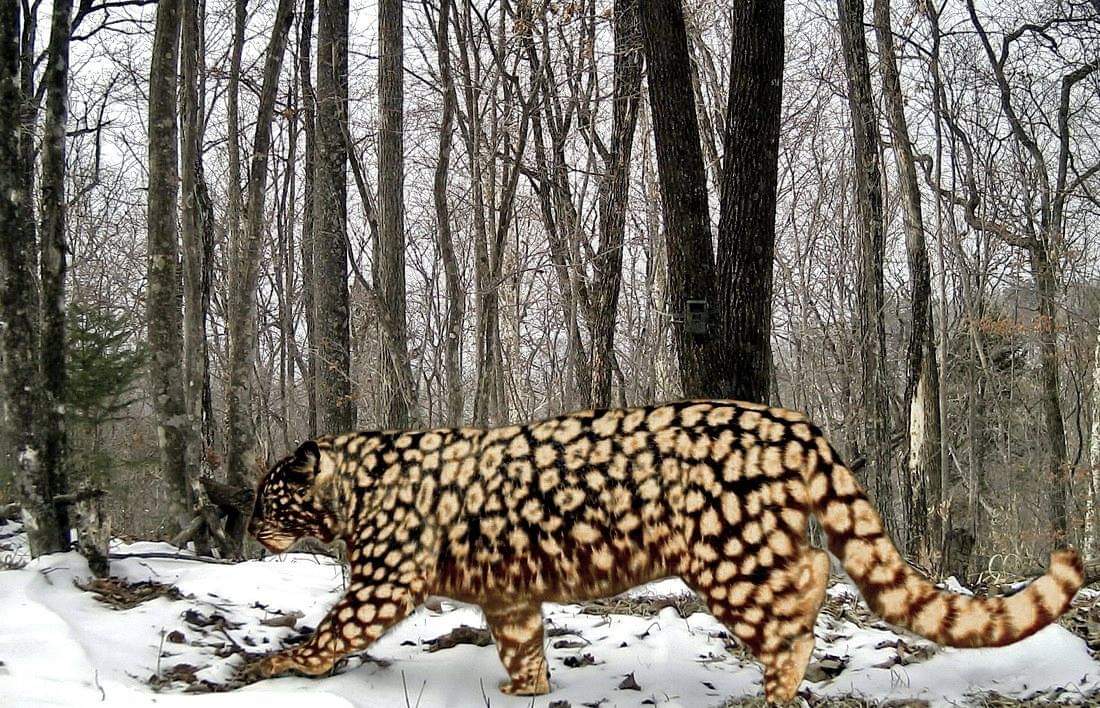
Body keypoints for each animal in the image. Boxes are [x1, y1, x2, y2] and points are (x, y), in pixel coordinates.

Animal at [245, 400, 1084, 704]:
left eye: (266, 494)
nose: (250, 528)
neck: (354, 486)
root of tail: (795, 422)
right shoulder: (510, 594)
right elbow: (521, 643)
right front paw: (525, 690)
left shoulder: (383, 581)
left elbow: (331, 629)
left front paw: (275, 665)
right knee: (811, 576)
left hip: (729, 555)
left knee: (797, 600)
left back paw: (773, 692)